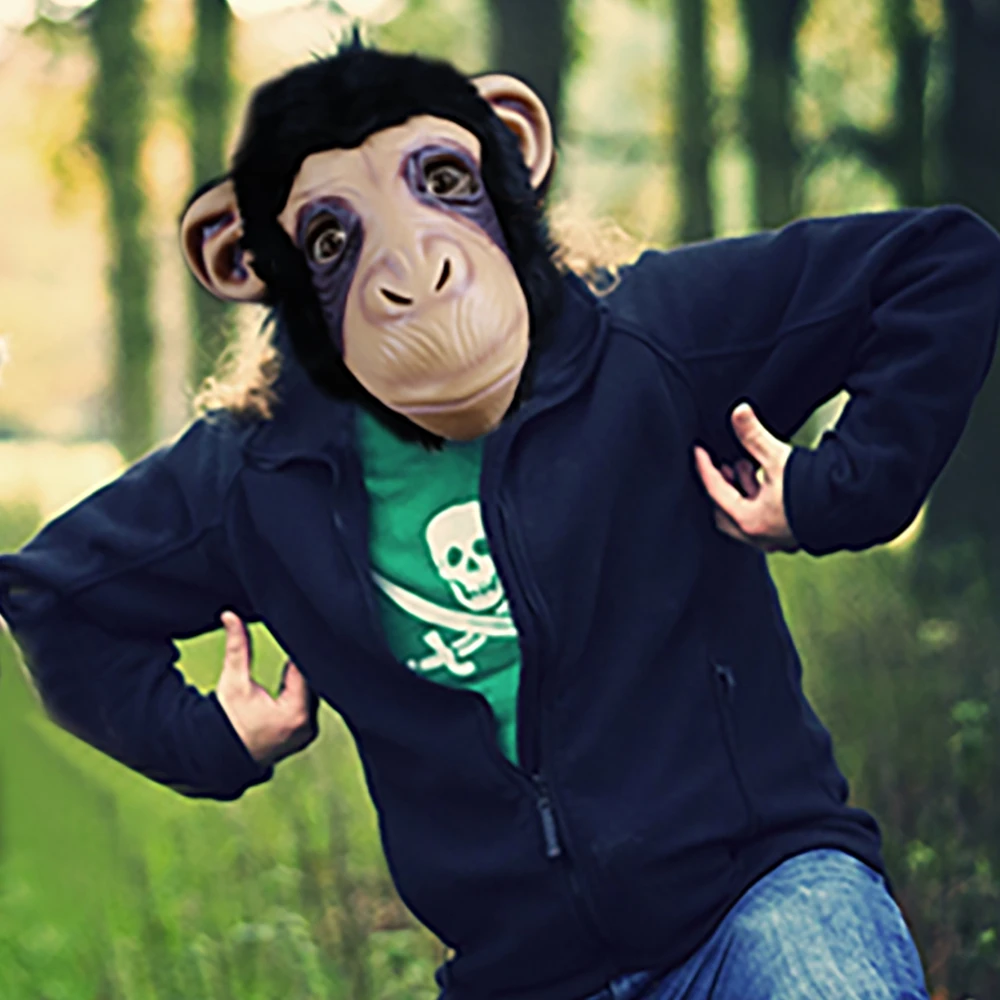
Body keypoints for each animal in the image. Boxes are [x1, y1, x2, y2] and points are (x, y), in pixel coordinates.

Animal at [2, 37, 1000, 1000]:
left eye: (444, 180)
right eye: (327, 239)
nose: (418, 277)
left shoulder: (690, 322)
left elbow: (927, 257)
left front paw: (788, 495)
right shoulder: (218, 487)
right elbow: (57, 591)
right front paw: (246, 725)